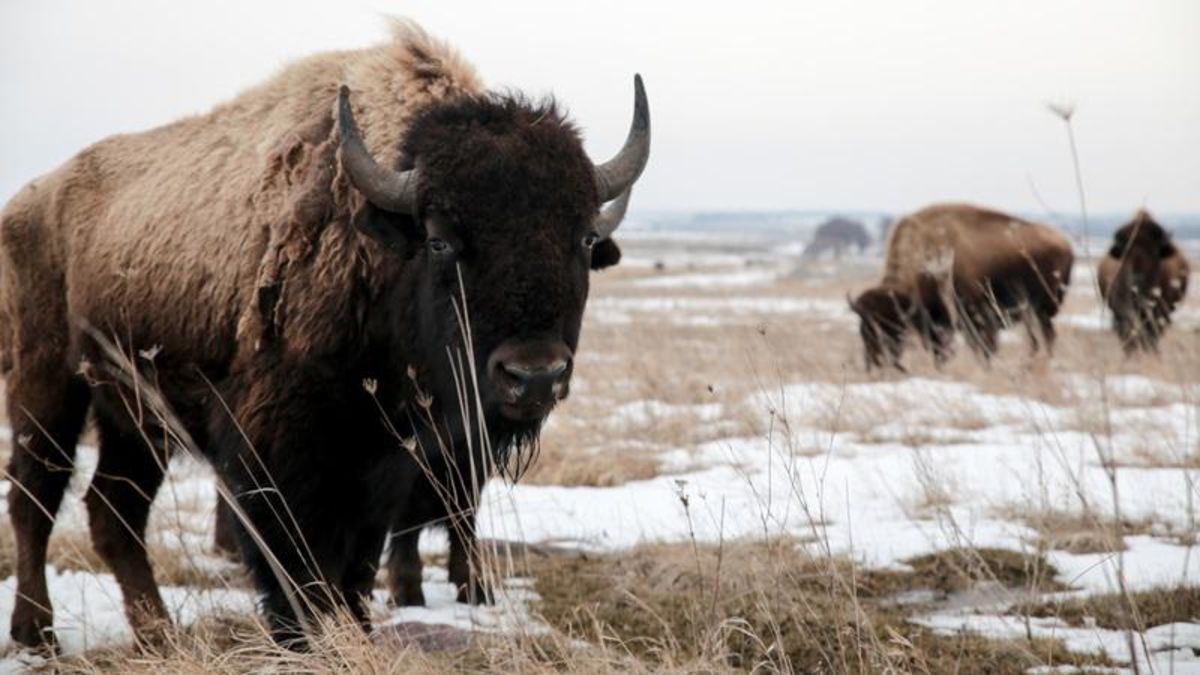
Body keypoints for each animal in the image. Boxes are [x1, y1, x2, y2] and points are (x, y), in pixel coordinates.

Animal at [1, 21, 649, 648]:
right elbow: (296, 562)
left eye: (584, 239)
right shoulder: (278, 453)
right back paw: (38, 631)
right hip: (50, 388)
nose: (534, 375)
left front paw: (356, 626)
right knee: (36, 494)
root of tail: (29, 201)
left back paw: (157, 634)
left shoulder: (386, 461)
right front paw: (302, 637)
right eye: (440, 239)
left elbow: (357, 562)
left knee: (115, 509)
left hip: (135, 417)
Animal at [850, 203, 1074, 370]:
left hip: (1042, 311)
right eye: (862, 329)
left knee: (1046, 337)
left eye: (889, 326)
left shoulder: (976, 321)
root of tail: (1065, 245)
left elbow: (983, 348)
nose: (875, 363)